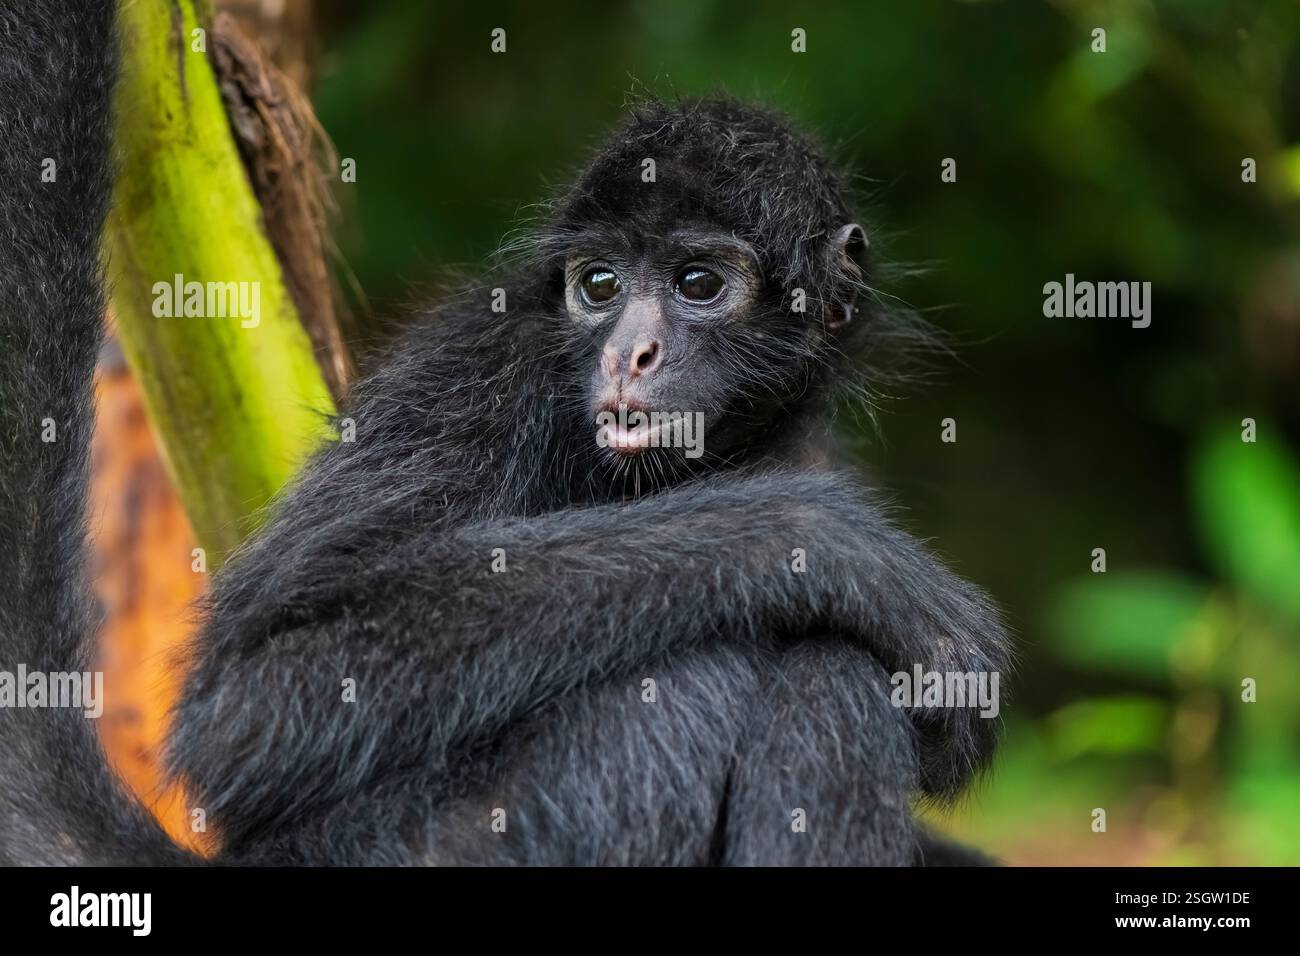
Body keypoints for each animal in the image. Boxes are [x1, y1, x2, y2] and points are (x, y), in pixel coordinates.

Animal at [0, 0, 1008, 866]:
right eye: (600, 286)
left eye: (697, 283)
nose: (630, 354)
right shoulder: (486, 372)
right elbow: (249, 704)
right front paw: (822, 541)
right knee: (766, 667)